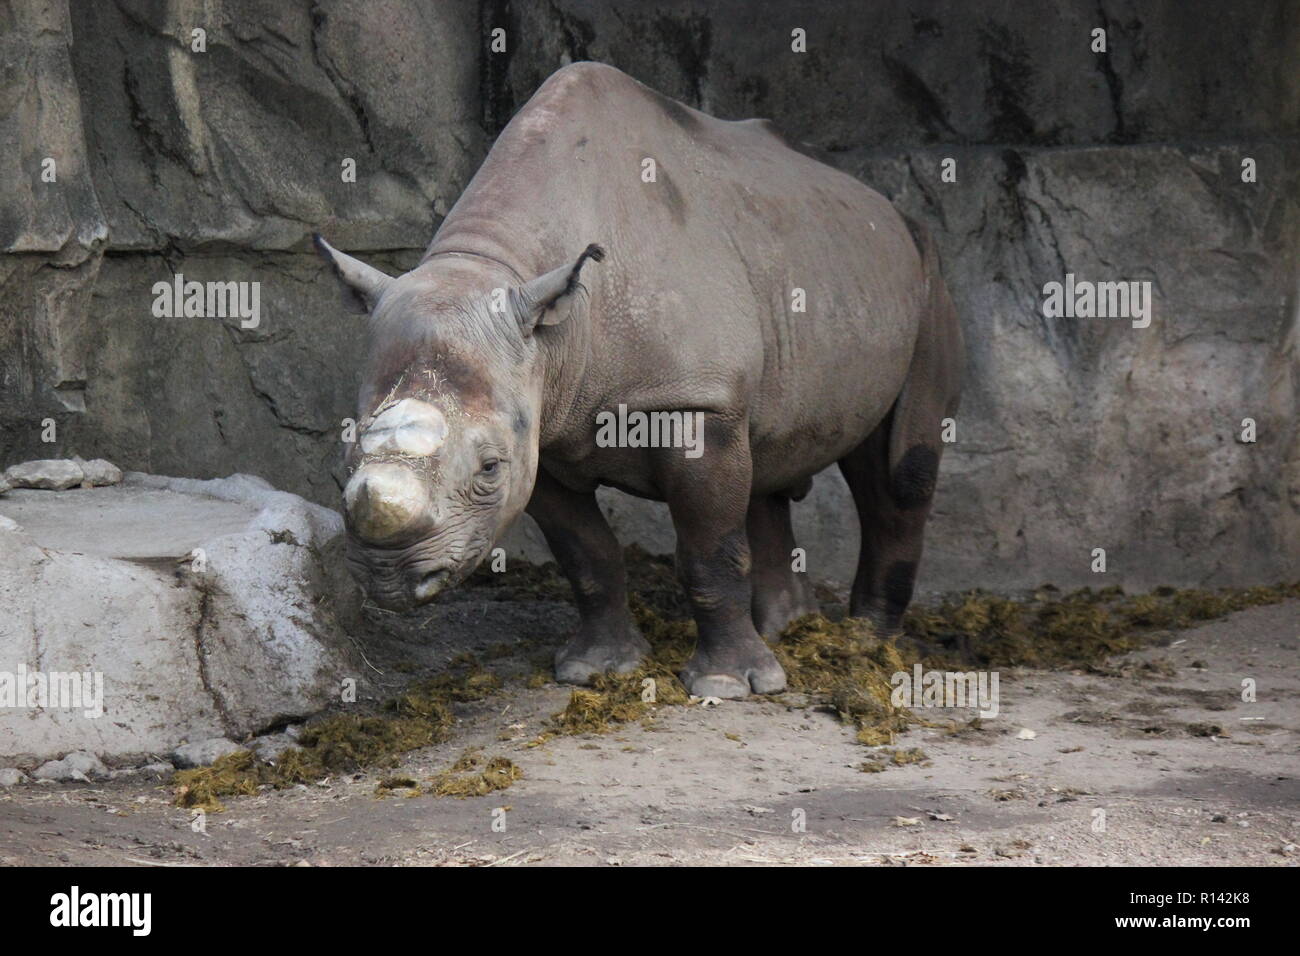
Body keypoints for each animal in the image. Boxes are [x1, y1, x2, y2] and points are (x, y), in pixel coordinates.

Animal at [314, 62, 962, 699]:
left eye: (489, 467)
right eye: (341, 459)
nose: (390, 579)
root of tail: (891, 212)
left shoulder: (695, 404)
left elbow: (709, 550)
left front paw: (727, 684)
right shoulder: (542, 428)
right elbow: (586, 554)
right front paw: (598, 668)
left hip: (924, 274)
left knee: (899, 470)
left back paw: (865, 645)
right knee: (770, 453)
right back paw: (789, 628)